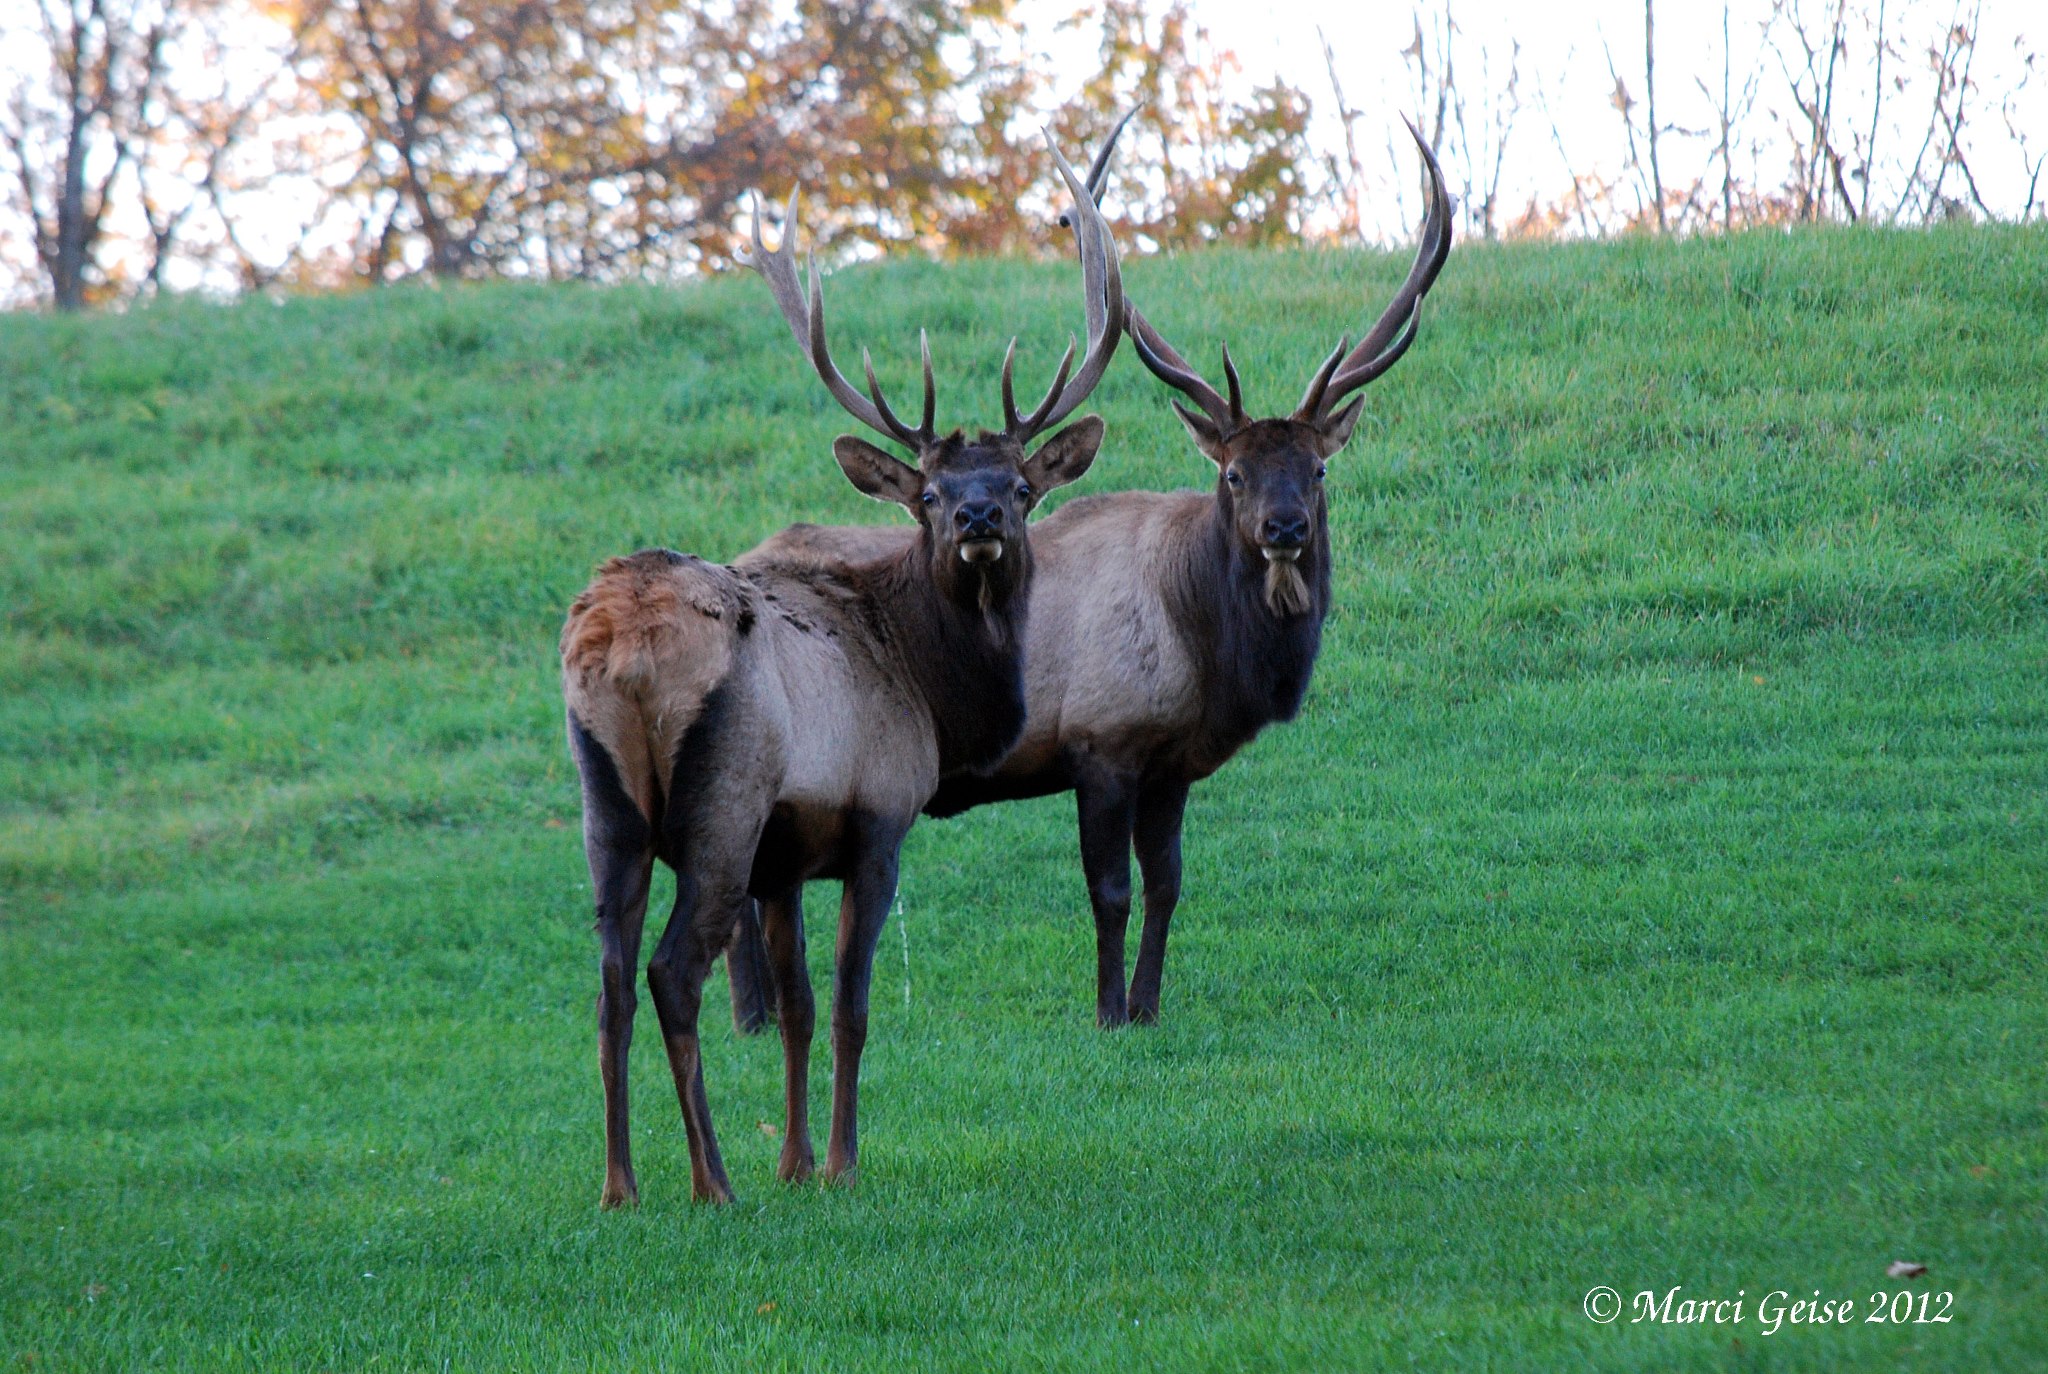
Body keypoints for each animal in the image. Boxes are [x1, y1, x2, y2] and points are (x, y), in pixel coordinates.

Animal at [559, 137, 1122, 1205]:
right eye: (928, 493)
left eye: (1020, 486)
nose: (979, 517)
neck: (926, 684)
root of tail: (622, 636)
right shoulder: (876, 817)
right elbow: (854, 1006)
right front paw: (841, 1164)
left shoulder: (784, 863)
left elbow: (800, 1005)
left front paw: (794, 1163)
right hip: (724, 799)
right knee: (670, 972)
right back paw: (711, 1182)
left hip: (605, 804)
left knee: (608, 979)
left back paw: (620, 1185)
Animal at [727, 119, 1450, 1030]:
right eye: (1233, 473)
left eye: (1317, 470)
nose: (1283, 528)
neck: (1207, 647)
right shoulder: (1102, 741)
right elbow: (1110, 890)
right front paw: (1109, 1013)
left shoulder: (1172, 762)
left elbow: (1168, 885)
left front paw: (1148, 1007)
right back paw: (756, 1018)